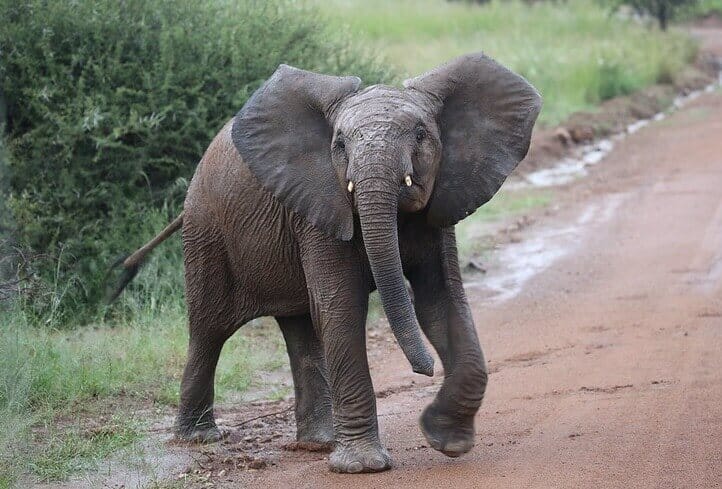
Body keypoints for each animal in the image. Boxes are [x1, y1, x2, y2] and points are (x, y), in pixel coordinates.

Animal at [110, 52, 541, 473]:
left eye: (421, 135)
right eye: (340, 144)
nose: (426, 370)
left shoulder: (439, 208)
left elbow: (441, 301)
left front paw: (446, 439)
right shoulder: (319, 207)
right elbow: (342, 307)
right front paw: (363, 466)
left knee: (299, 329)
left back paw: (319, 442)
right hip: (206, 231)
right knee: (209, 330)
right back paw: (199, 438)